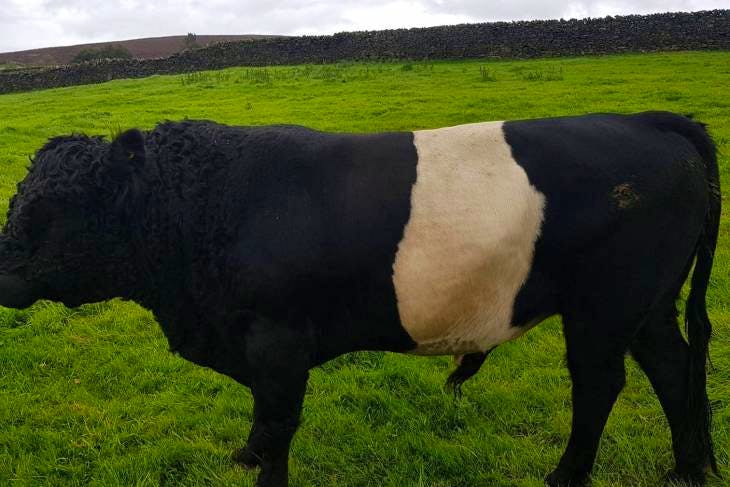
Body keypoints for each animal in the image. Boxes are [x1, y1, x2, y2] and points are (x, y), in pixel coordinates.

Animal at [0, 112, 720, 487]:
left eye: (56, 209)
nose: (3, 270)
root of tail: (645, 122)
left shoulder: (278, 342)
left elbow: (275, 427)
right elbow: (265, 428)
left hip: (606, 306)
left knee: (600, 384)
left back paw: (566, 478)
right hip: (649, 306)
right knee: (674, 367)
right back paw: (688, 468)